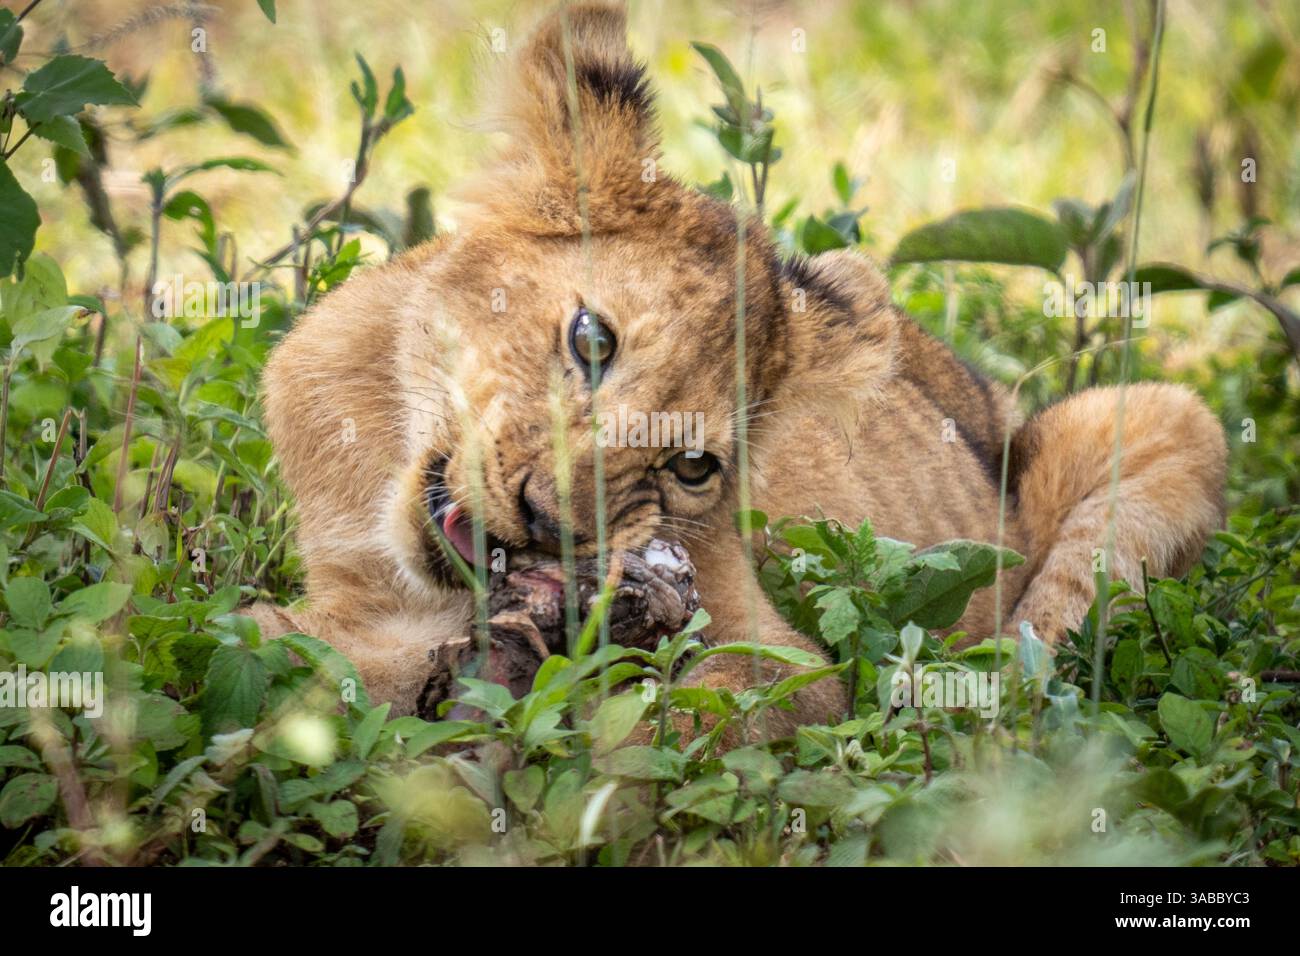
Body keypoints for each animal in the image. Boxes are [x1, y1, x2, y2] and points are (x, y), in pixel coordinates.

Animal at [252, 2, 1227, 740]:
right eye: (590, 340)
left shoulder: (785, 661)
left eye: (693, 467)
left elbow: (673, 722)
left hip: (1165, 418)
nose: (545, 524)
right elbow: (296, 653)